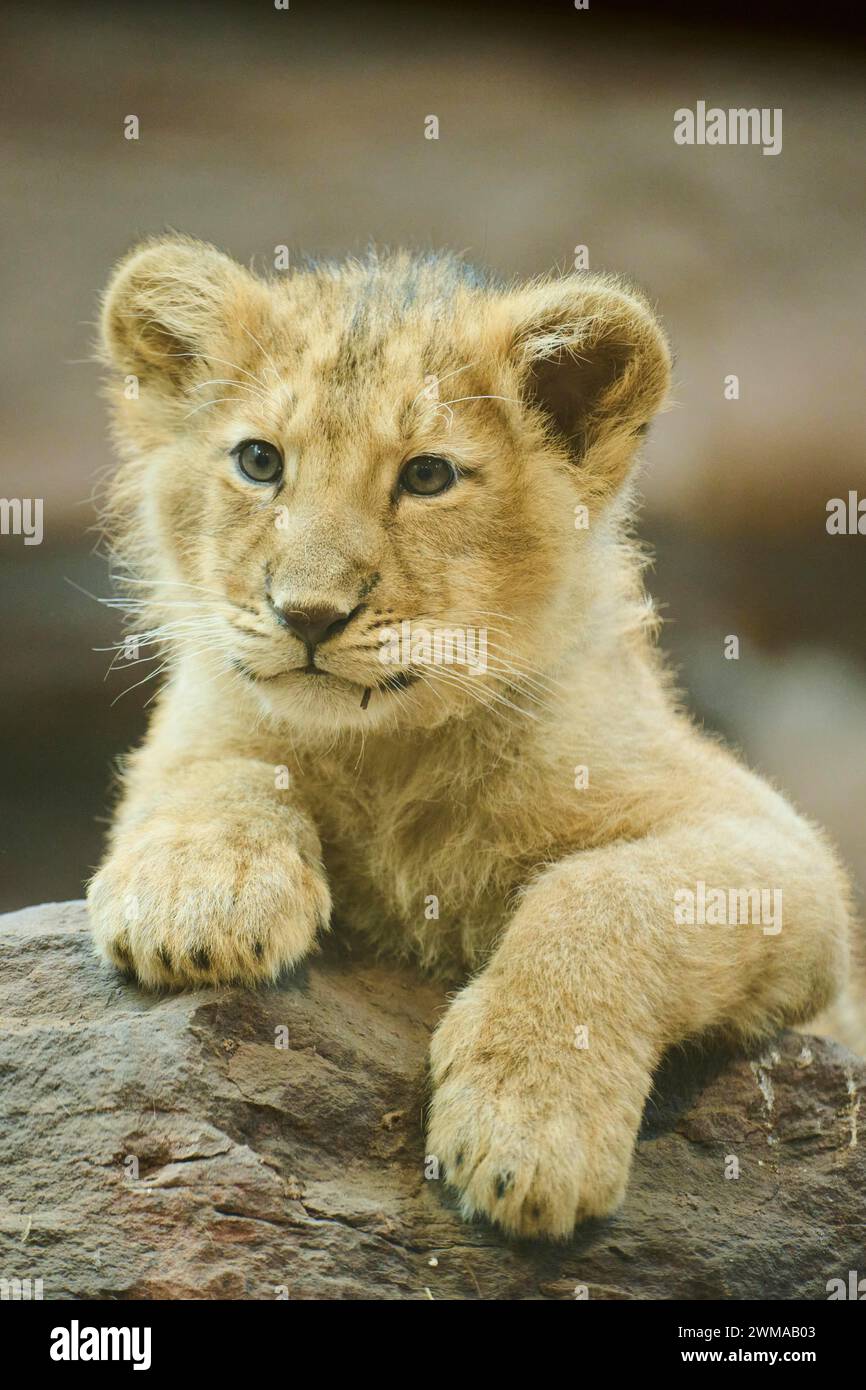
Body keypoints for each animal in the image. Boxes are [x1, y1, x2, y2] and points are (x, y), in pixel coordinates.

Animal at [87, 236, 856, 1238]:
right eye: (259, 462)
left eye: (427, 476)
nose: (308, 615)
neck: (390, 750)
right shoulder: (198, 723)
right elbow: (216, 770)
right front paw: (196, 898)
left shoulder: (785, 862)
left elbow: (605, 893)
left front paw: (528, 1128)